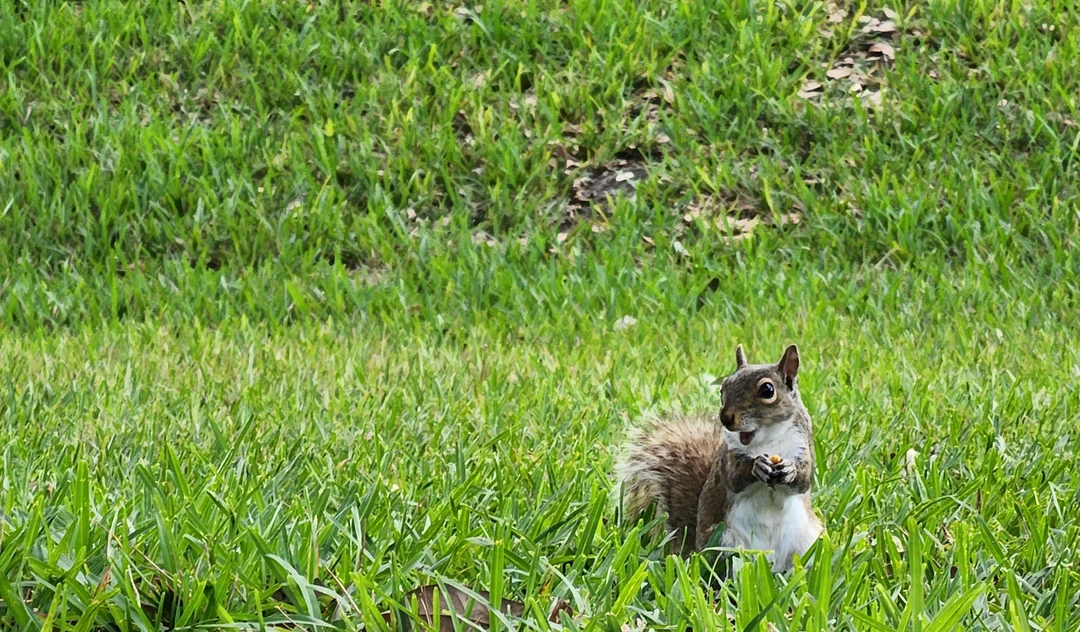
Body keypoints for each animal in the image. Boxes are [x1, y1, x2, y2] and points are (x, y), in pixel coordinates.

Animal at [614, 344, 823, 574]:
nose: (725, 418)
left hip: (807, 542)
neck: (768, 438)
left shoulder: (802, 445)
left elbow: (804, 480)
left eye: (767, 390)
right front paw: (756, 466)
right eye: (723, 387)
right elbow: (733, 477)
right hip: (727, 546)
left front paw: (790, 470)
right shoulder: (729, 455)